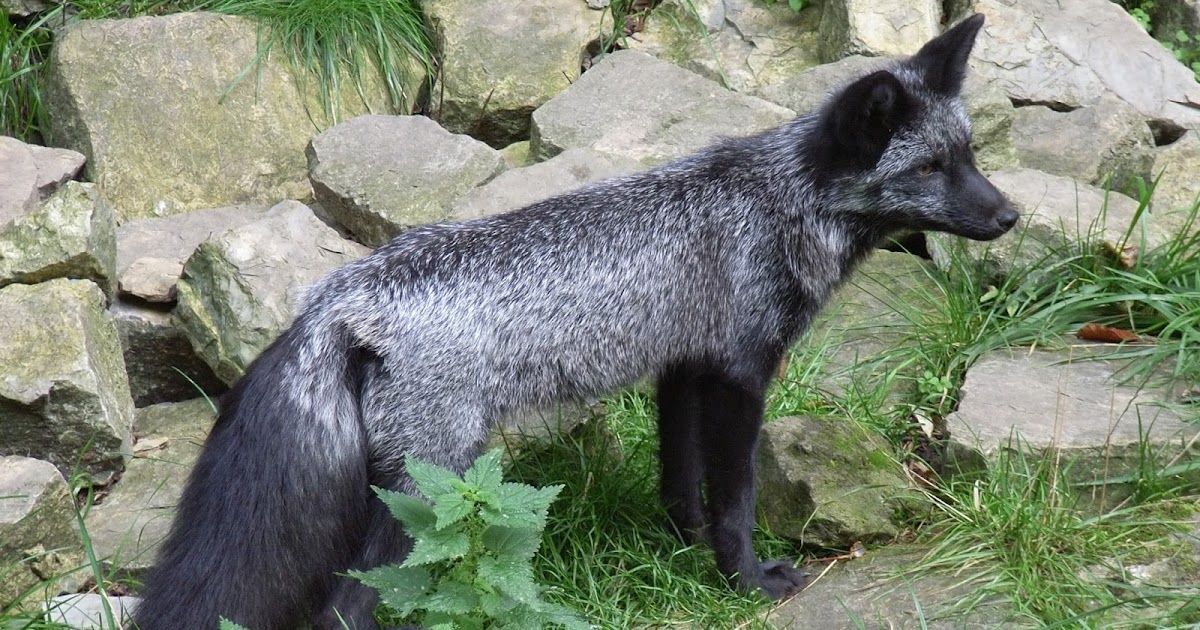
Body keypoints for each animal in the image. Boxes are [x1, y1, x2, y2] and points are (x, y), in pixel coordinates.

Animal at [132, 13, 1014, 630]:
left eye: (970, 154)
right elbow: (736, 500)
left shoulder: (683, 367)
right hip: (429, 486)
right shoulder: (740, 375)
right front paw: (746, 580)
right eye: (929, 168)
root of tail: (338, 298)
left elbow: (681, 484)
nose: (1009, 216)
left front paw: (686, 552)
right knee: (344, 611)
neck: (774, 204)